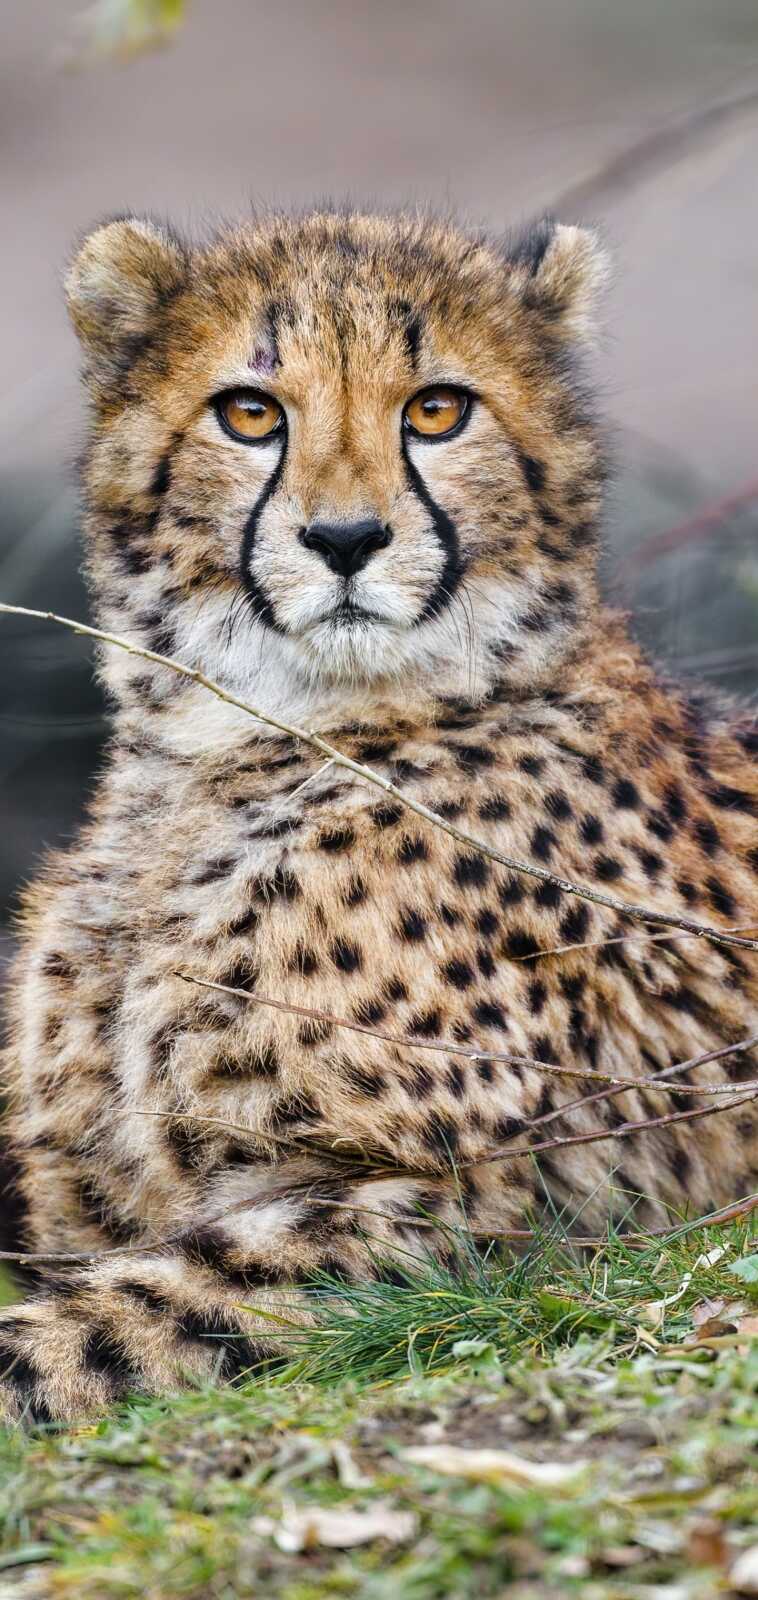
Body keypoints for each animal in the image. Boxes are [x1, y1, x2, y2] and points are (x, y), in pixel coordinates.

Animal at [0, 208, 756, 1424]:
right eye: (250, 412)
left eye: (437, 409)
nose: (346, 539)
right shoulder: (84, 1201)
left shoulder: (488, 1211)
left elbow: (91, 1328)